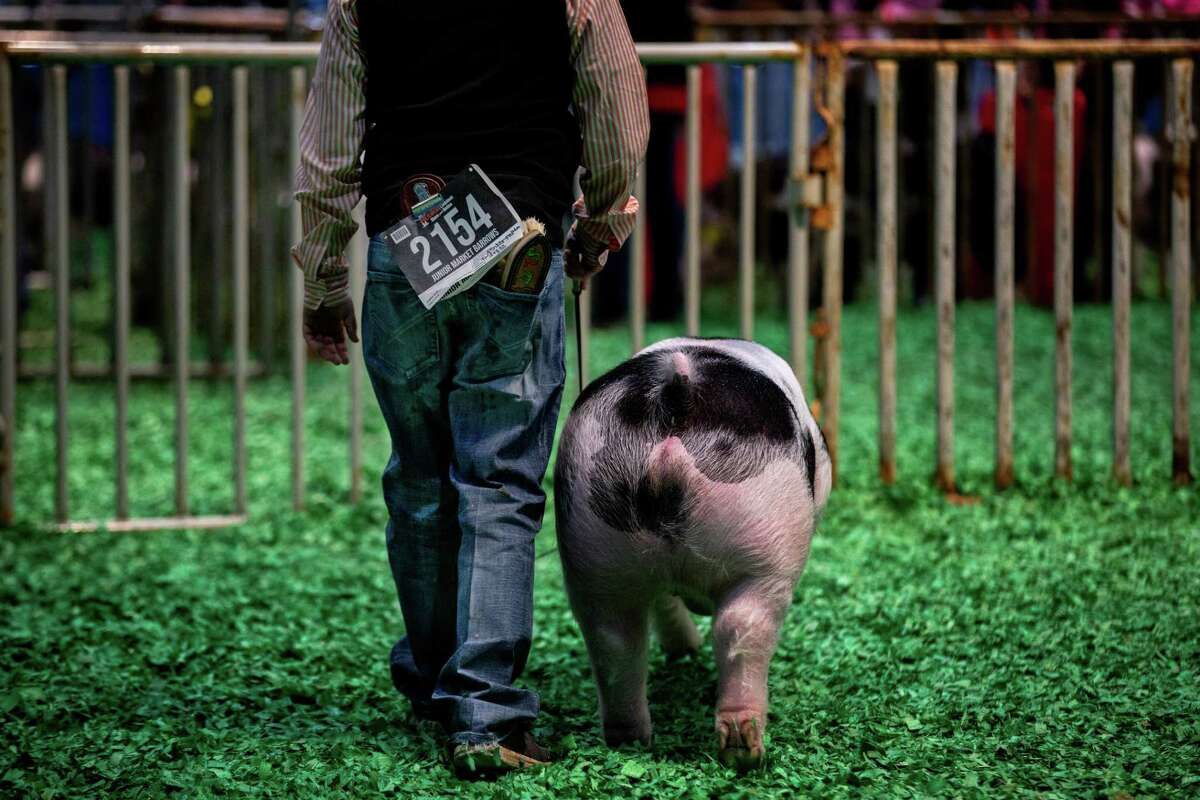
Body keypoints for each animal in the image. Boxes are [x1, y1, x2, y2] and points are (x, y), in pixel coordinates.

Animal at [553, 337, 832, 769]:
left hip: (591, 540)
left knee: (613, 636)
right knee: (742, 625)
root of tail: (677, 391)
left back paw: (630, 740)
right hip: (764, 540)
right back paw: (745, 751)